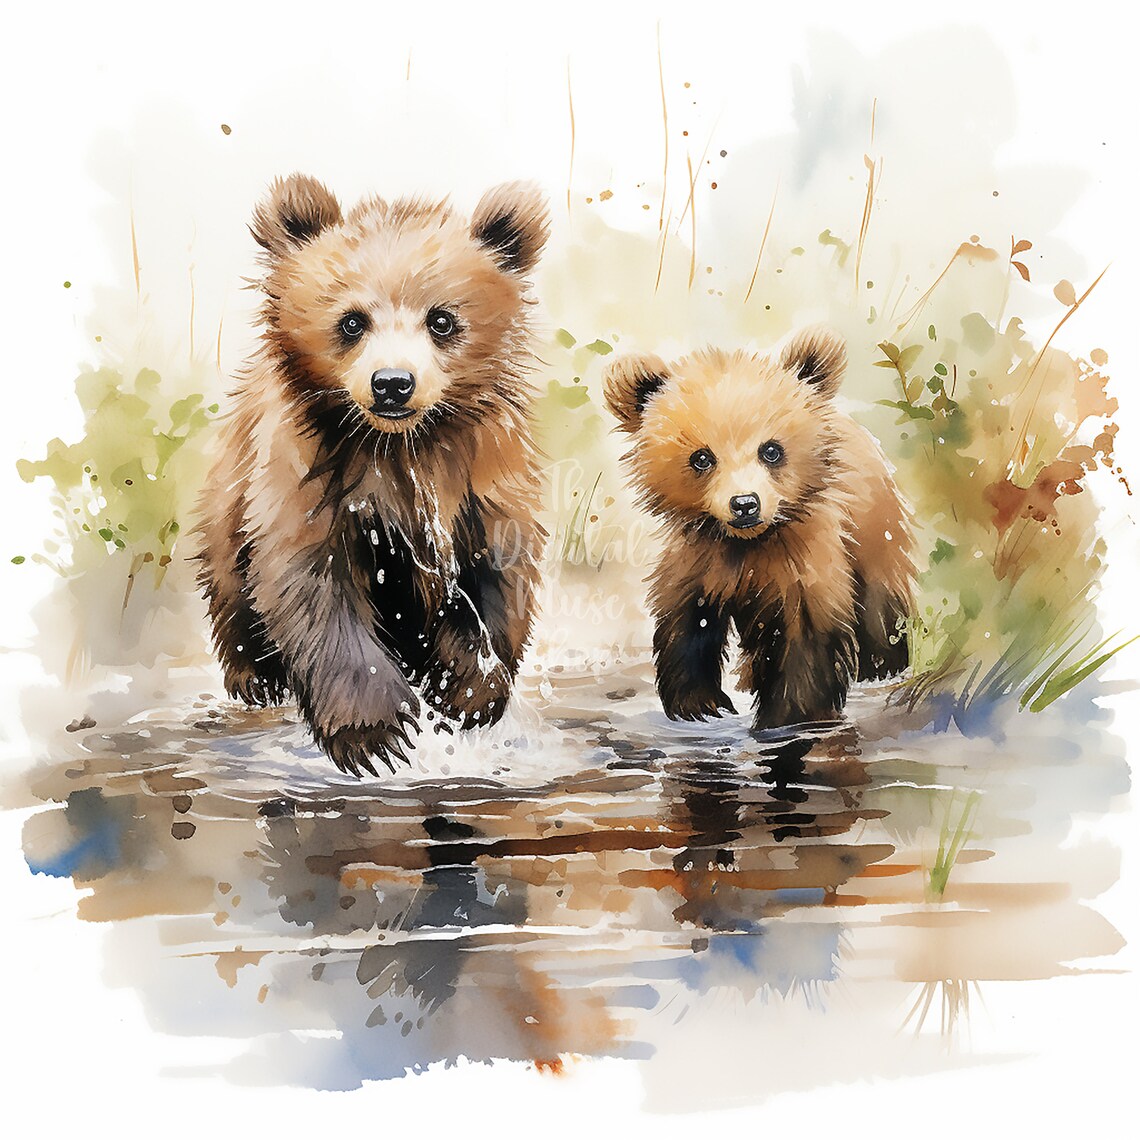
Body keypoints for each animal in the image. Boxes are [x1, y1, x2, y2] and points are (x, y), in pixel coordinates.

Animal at [195, 174, 549, 776]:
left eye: (442, 319)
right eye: (351, 320)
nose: (392, 383)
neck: (398, 449)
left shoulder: (481, 484)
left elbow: (496, 580)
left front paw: (465, 691)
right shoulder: (309, 481)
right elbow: (313, 588)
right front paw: (378, 733)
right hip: (228, 500)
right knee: (231, 587)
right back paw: (257, 680)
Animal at [603, 327, 915, 731]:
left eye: (771, 450)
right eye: (701, 457)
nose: (745, 504)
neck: (748, 544)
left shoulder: (804, 562)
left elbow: (805, 640)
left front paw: (789, 717)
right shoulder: (699, 561)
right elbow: (687, 627)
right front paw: (701, 706)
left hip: (874, 529)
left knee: (880, 599)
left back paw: (881, 666)